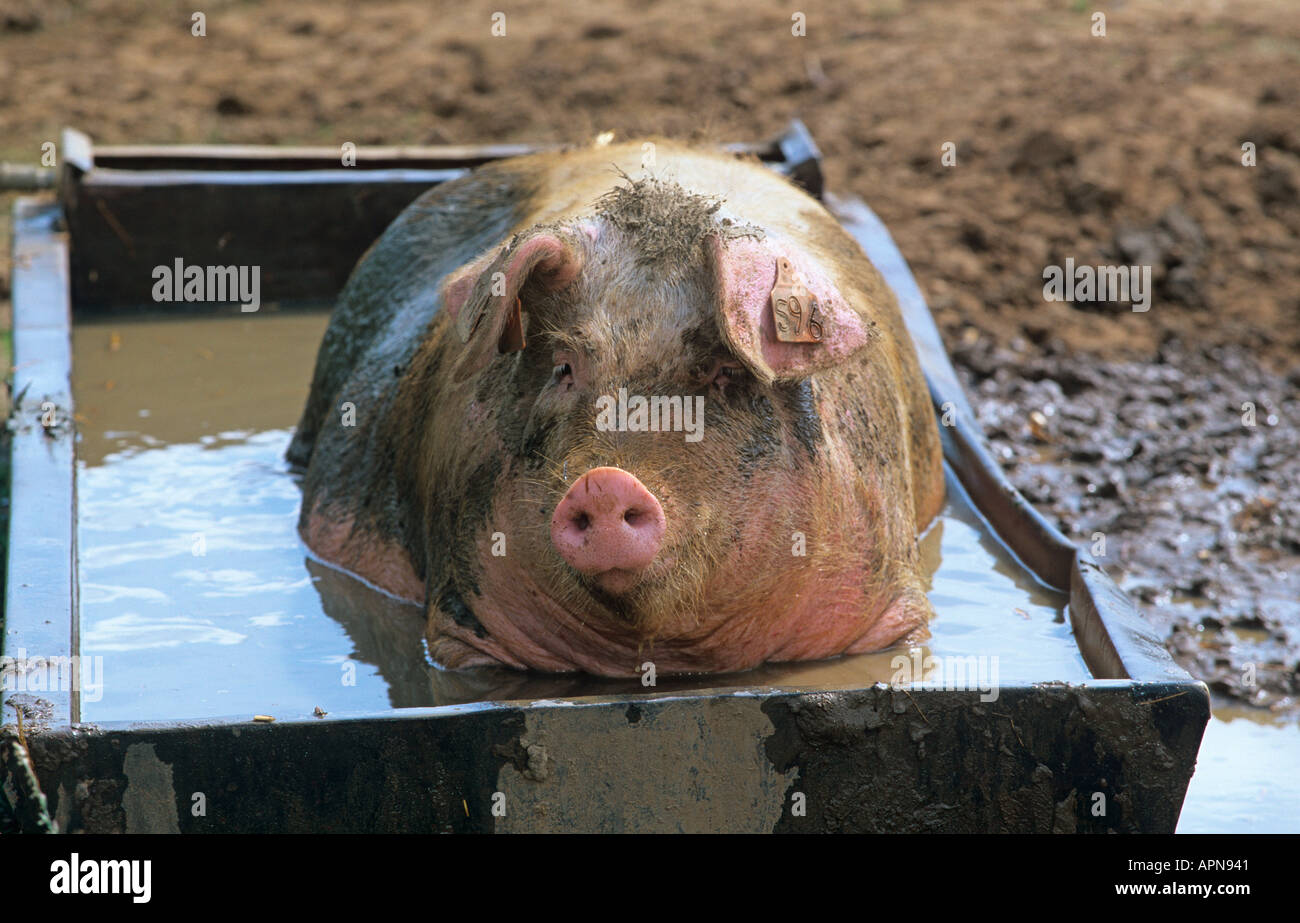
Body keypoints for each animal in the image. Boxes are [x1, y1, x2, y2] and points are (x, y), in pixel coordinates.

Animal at [287, 138, 945, 677]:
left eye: (724, 372)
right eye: (564, 368)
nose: (604, 483)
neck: (662, 651)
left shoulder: (890, 612)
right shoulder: (463, 628)